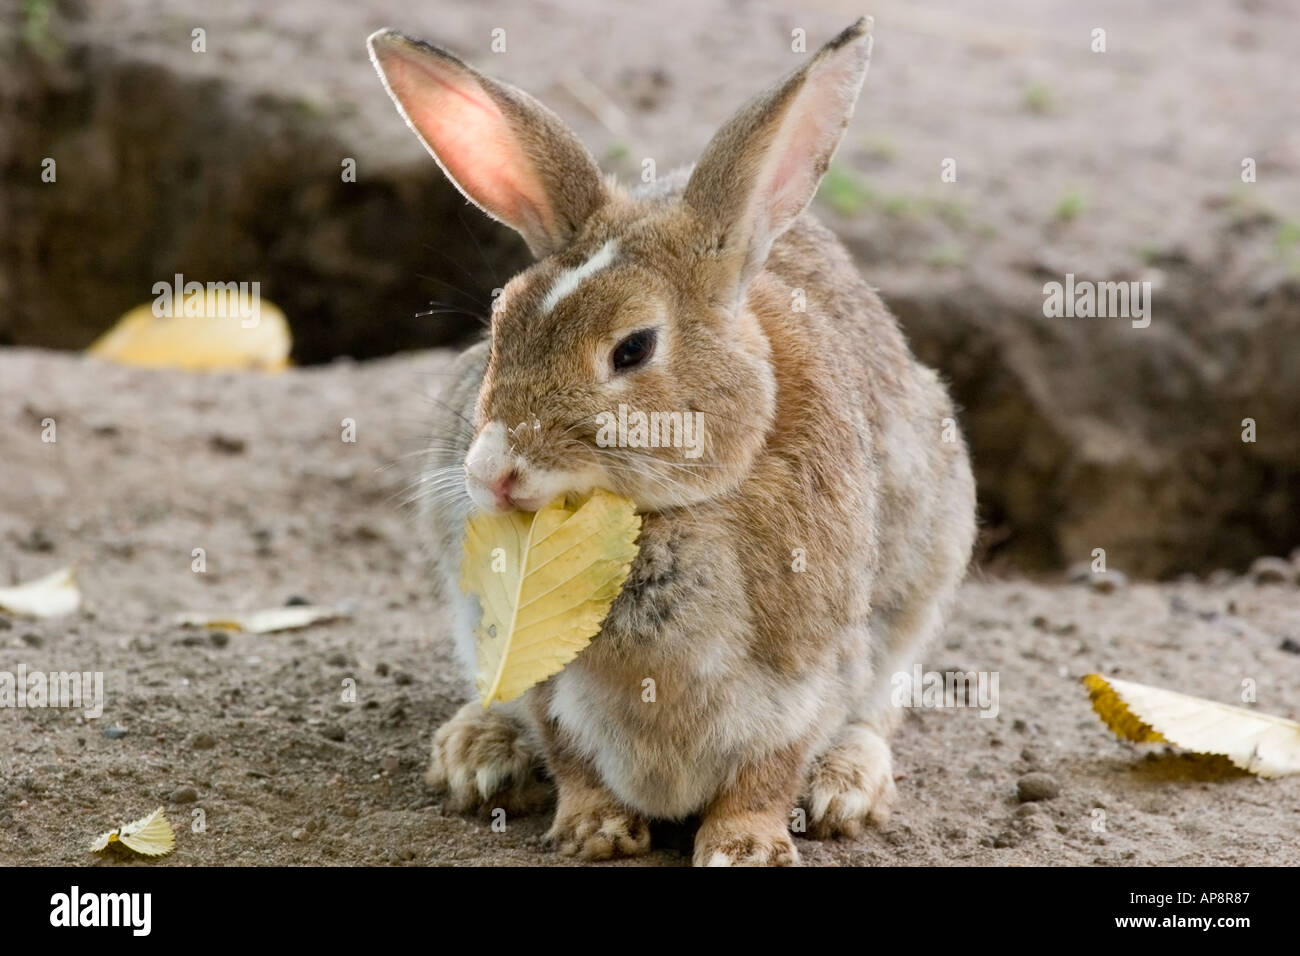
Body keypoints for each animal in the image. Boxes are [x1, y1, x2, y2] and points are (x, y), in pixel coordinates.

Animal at [369, 16, 976, 866]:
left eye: (633, 348)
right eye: (499, 321)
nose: (491, 474)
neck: (664, 512)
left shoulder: (810, 670)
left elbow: (770, 767)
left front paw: (744, 848)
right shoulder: (545, 673)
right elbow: (569, 747)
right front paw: (595, 830)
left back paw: (847, 785)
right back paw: (477, 751)